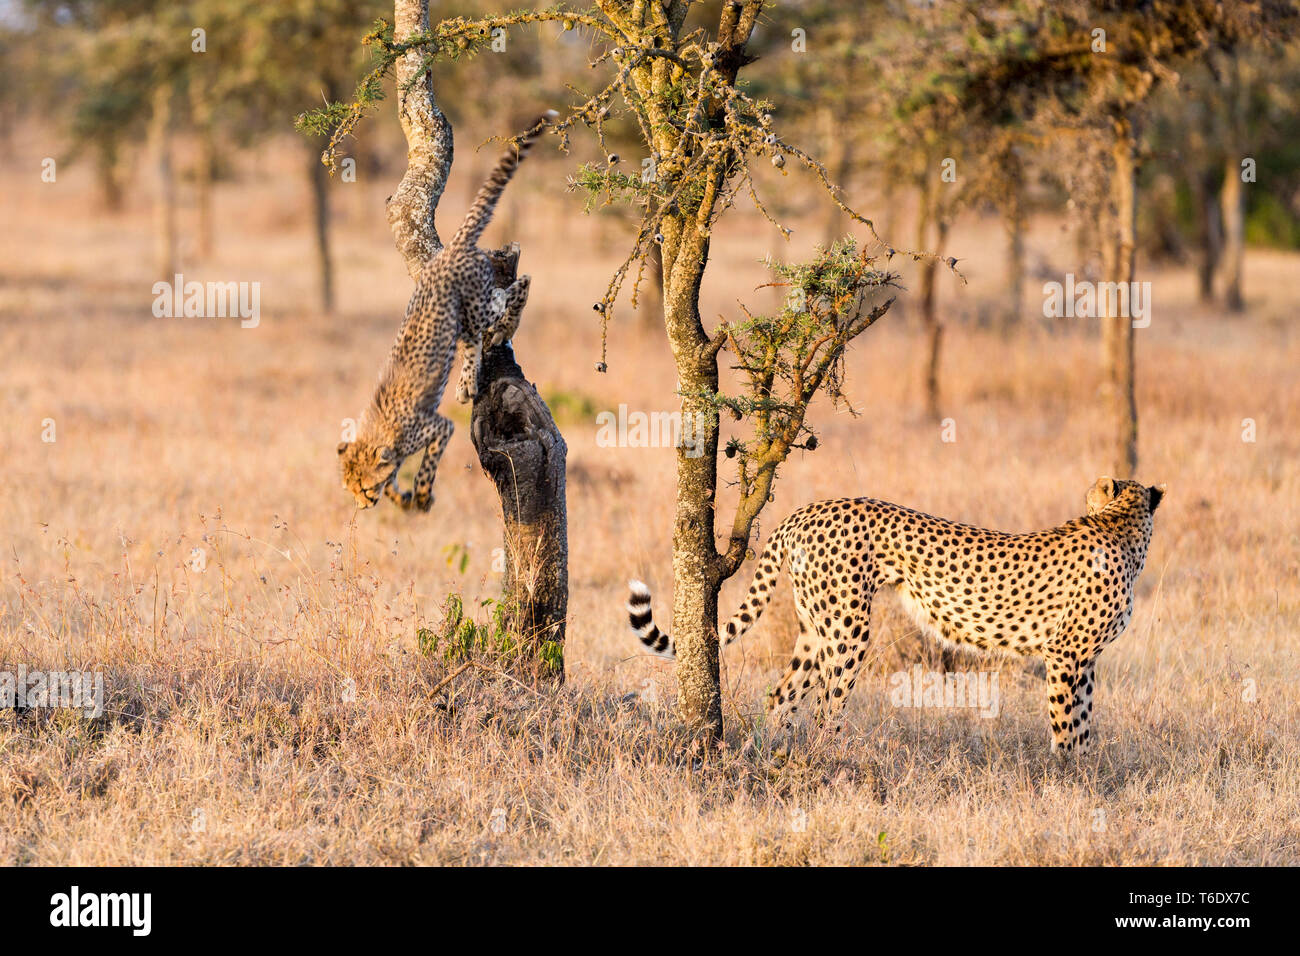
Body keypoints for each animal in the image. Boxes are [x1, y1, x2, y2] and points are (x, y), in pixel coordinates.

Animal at [338, 110, 556, 511]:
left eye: (363, 488)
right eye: (351, 487)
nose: (362, 505)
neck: (380, 428)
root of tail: (451, 251)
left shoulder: (438, 427)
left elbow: (427, 461)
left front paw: (421, 496)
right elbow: (395, 473)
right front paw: (400, 496)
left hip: (479, 303)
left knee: (518, 285)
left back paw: (507, 326)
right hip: (465, 317)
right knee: (472, 341)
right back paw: (467, 381)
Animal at [627, 477, 1165, 755]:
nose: (1084, 501)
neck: (1120, 529)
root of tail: (806, 511)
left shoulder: (1085, 660)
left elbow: (1085, 721)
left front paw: (1087, 772)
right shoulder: (1066, 655)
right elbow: (1067, 723)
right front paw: (1069, 779)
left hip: (814, 627)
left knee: (783, 694)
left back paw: (776, 752)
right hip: (848, 629)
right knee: (827, 706)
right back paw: (832, 763)